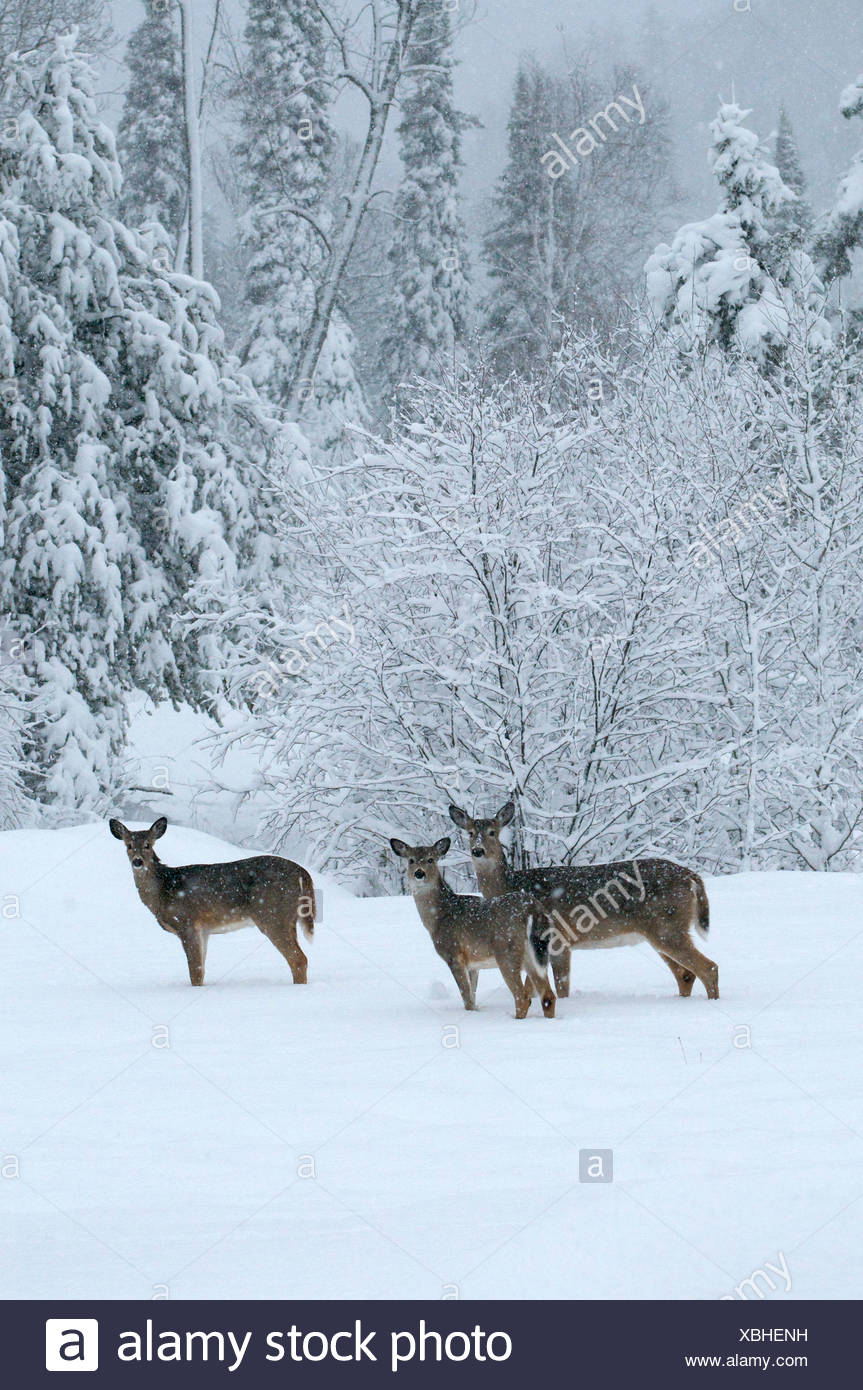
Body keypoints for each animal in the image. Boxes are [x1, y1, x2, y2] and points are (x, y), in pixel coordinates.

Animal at [109, 817, 315, 987]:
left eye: (148, 845)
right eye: (128, 845)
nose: (137, 862)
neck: (164, 889)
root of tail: (304, 874)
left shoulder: (187, 922)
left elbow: (195, 971)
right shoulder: (204, 930)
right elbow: (202, 969)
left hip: (272, 914)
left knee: (298, 959)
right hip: (289, 918)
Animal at [389, 834, 555, 1019]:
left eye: (431, 859)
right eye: (411, 860)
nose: (419, 873)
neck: (439, 917)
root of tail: (533, 908)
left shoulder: (453, 953)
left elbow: (467, 1000)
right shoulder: (473, 963)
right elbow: (473, 997)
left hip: (506, 950)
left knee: (523, 997)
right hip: (534, 953)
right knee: (548, 996)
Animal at [448, 801, 718, 1001]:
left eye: (493, 832)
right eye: (470, 833)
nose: (478, 851)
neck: (512, 885)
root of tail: (691, 876)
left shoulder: (558, 938)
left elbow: (559, 987)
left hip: (667, 927)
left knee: (708, 968)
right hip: (659, 931)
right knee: (686, 974)